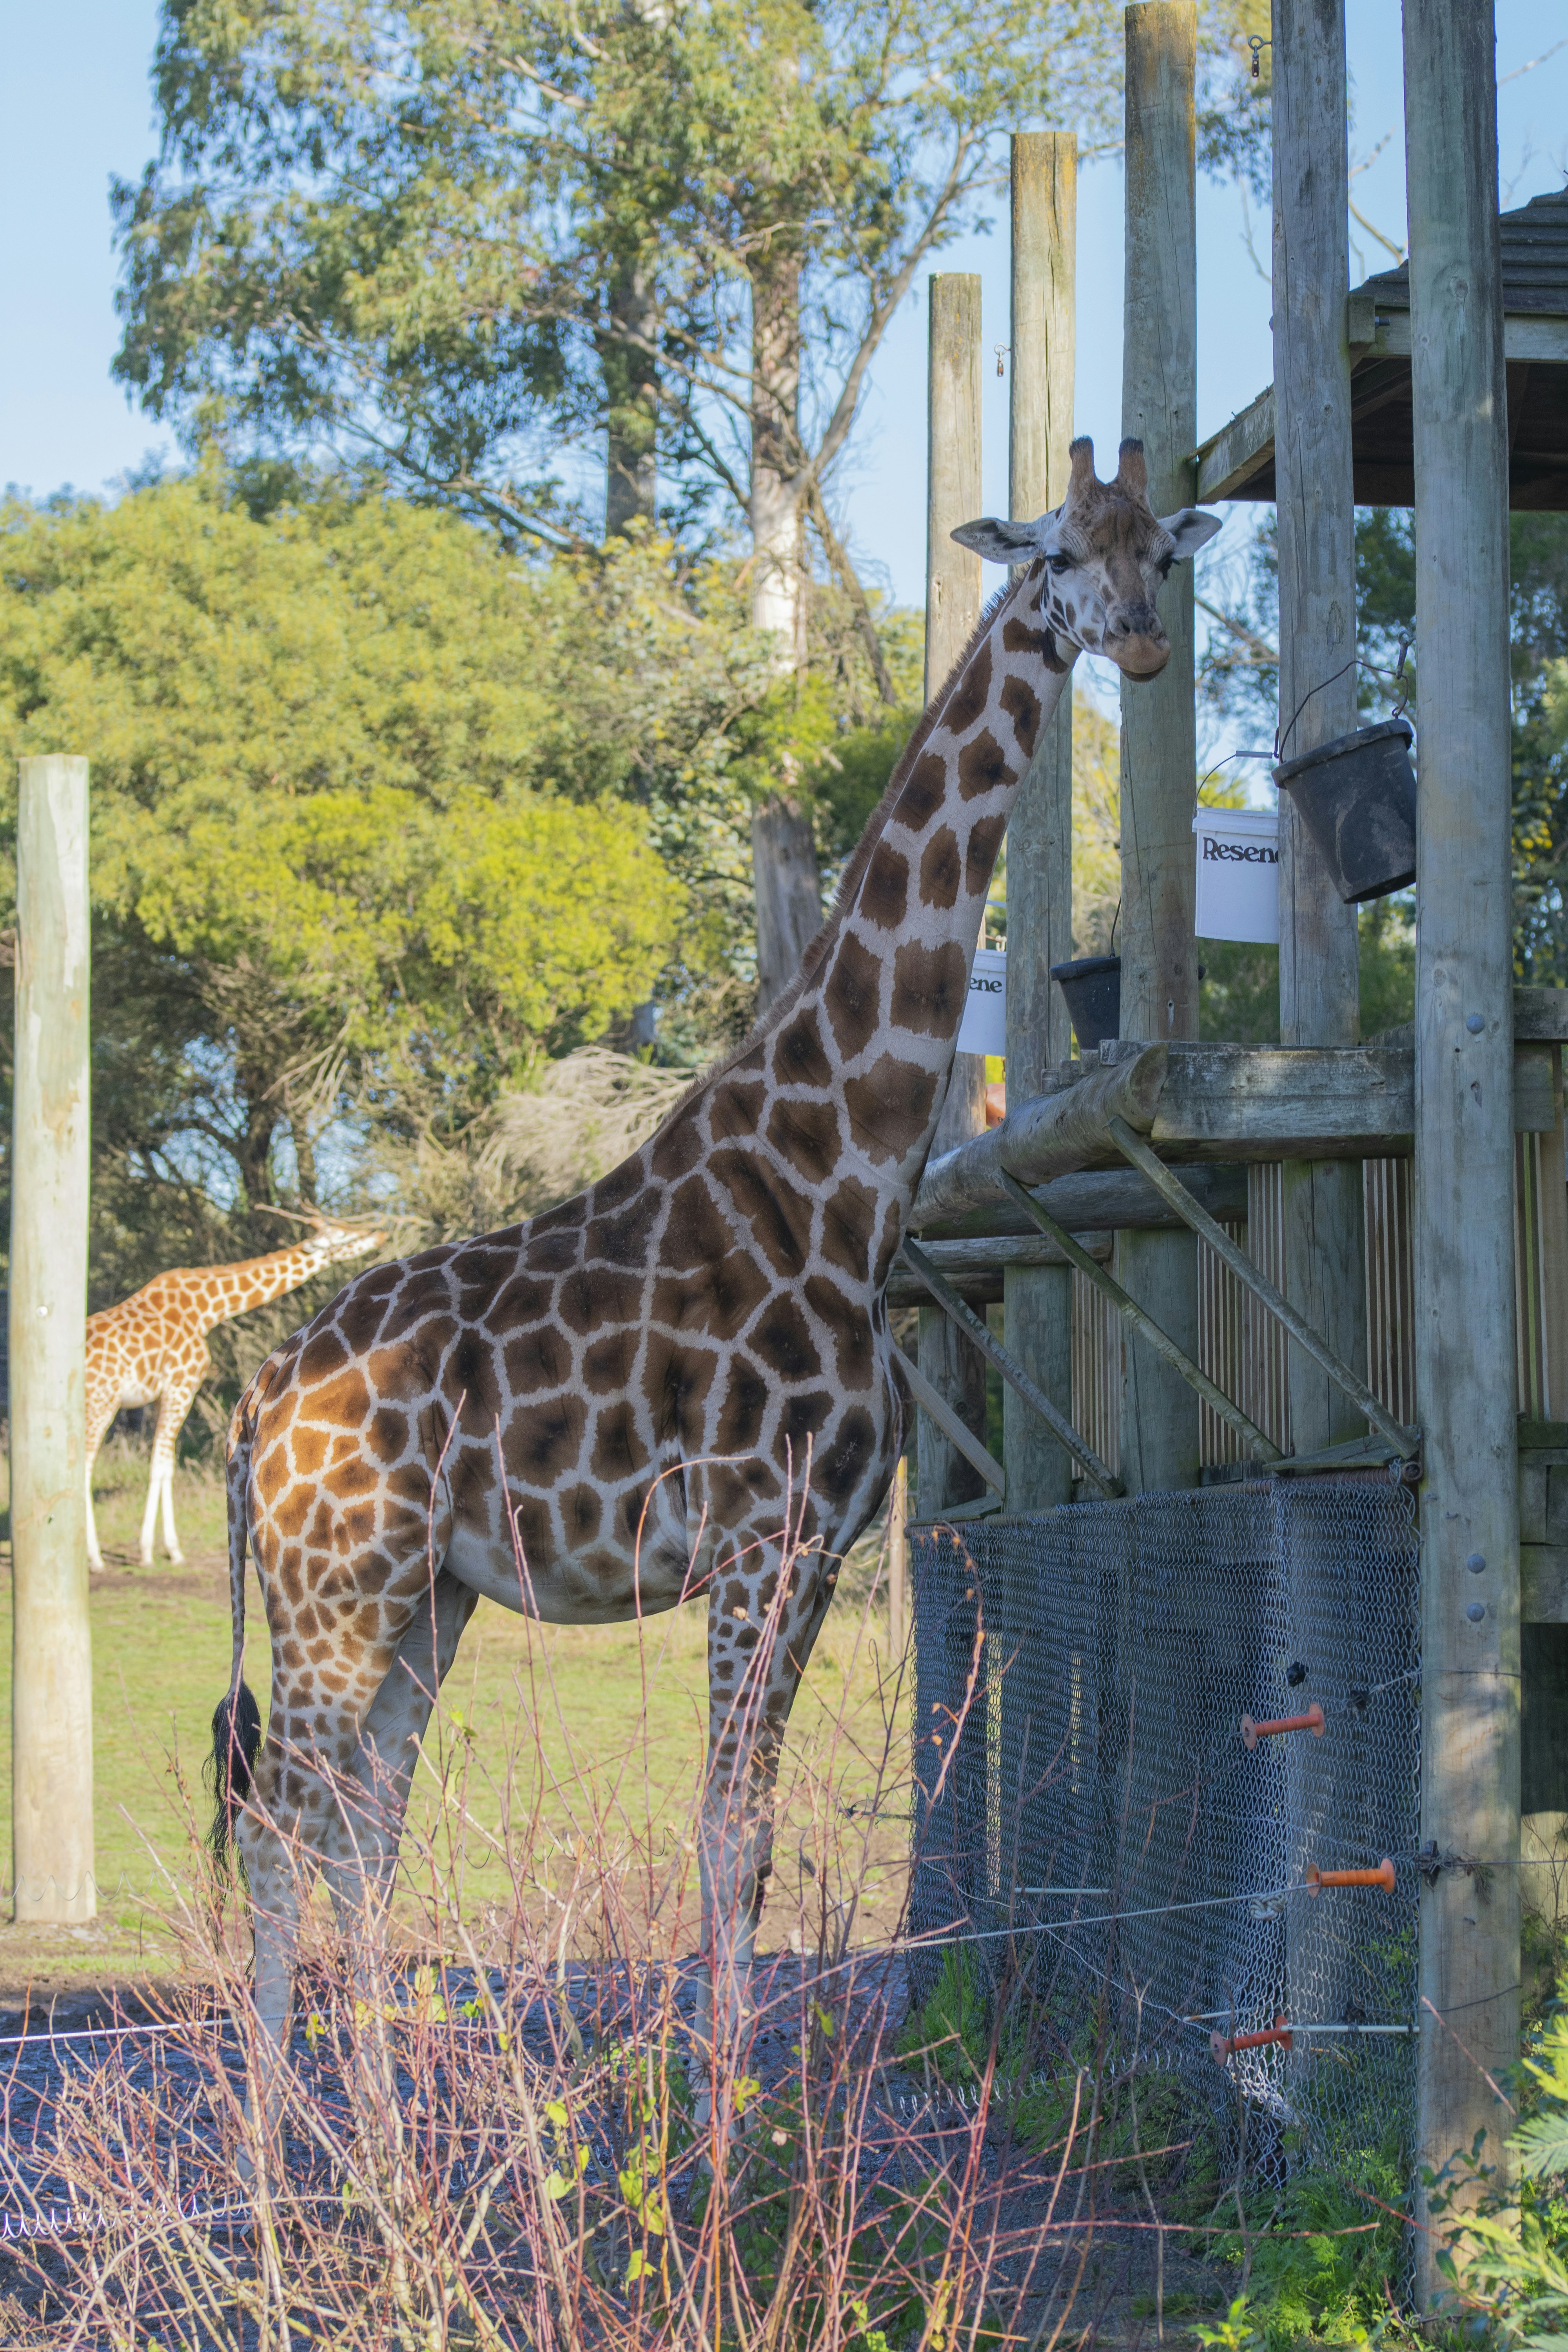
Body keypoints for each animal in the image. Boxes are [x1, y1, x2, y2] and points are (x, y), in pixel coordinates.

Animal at [86, 1221, 384, 1572]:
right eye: (343, 1236)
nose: (378, 1234)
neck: (206, 1308)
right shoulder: (181, 1386)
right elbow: (162, 1465)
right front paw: (162, 1551)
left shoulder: (165, 1394)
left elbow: (161, 1463)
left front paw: (155, 1549)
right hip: (102, 1404)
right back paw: (95, 1559)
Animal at [209, 438, 1220, 2121]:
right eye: (1059, 550)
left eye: (1161, 550)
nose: (1139, 642)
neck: (843, 1175)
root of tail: (255, 1408)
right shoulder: (756, 1538)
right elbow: (727, 1828)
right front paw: (722, 2132)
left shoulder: (813, 1547)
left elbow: (744, 1833)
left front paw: (734, 2114)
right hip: (329, 1583)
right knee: (286, 1826)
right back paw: (276, 2158)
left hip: (422, 1597)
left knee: (361, 1827)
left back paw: (374, 2145)